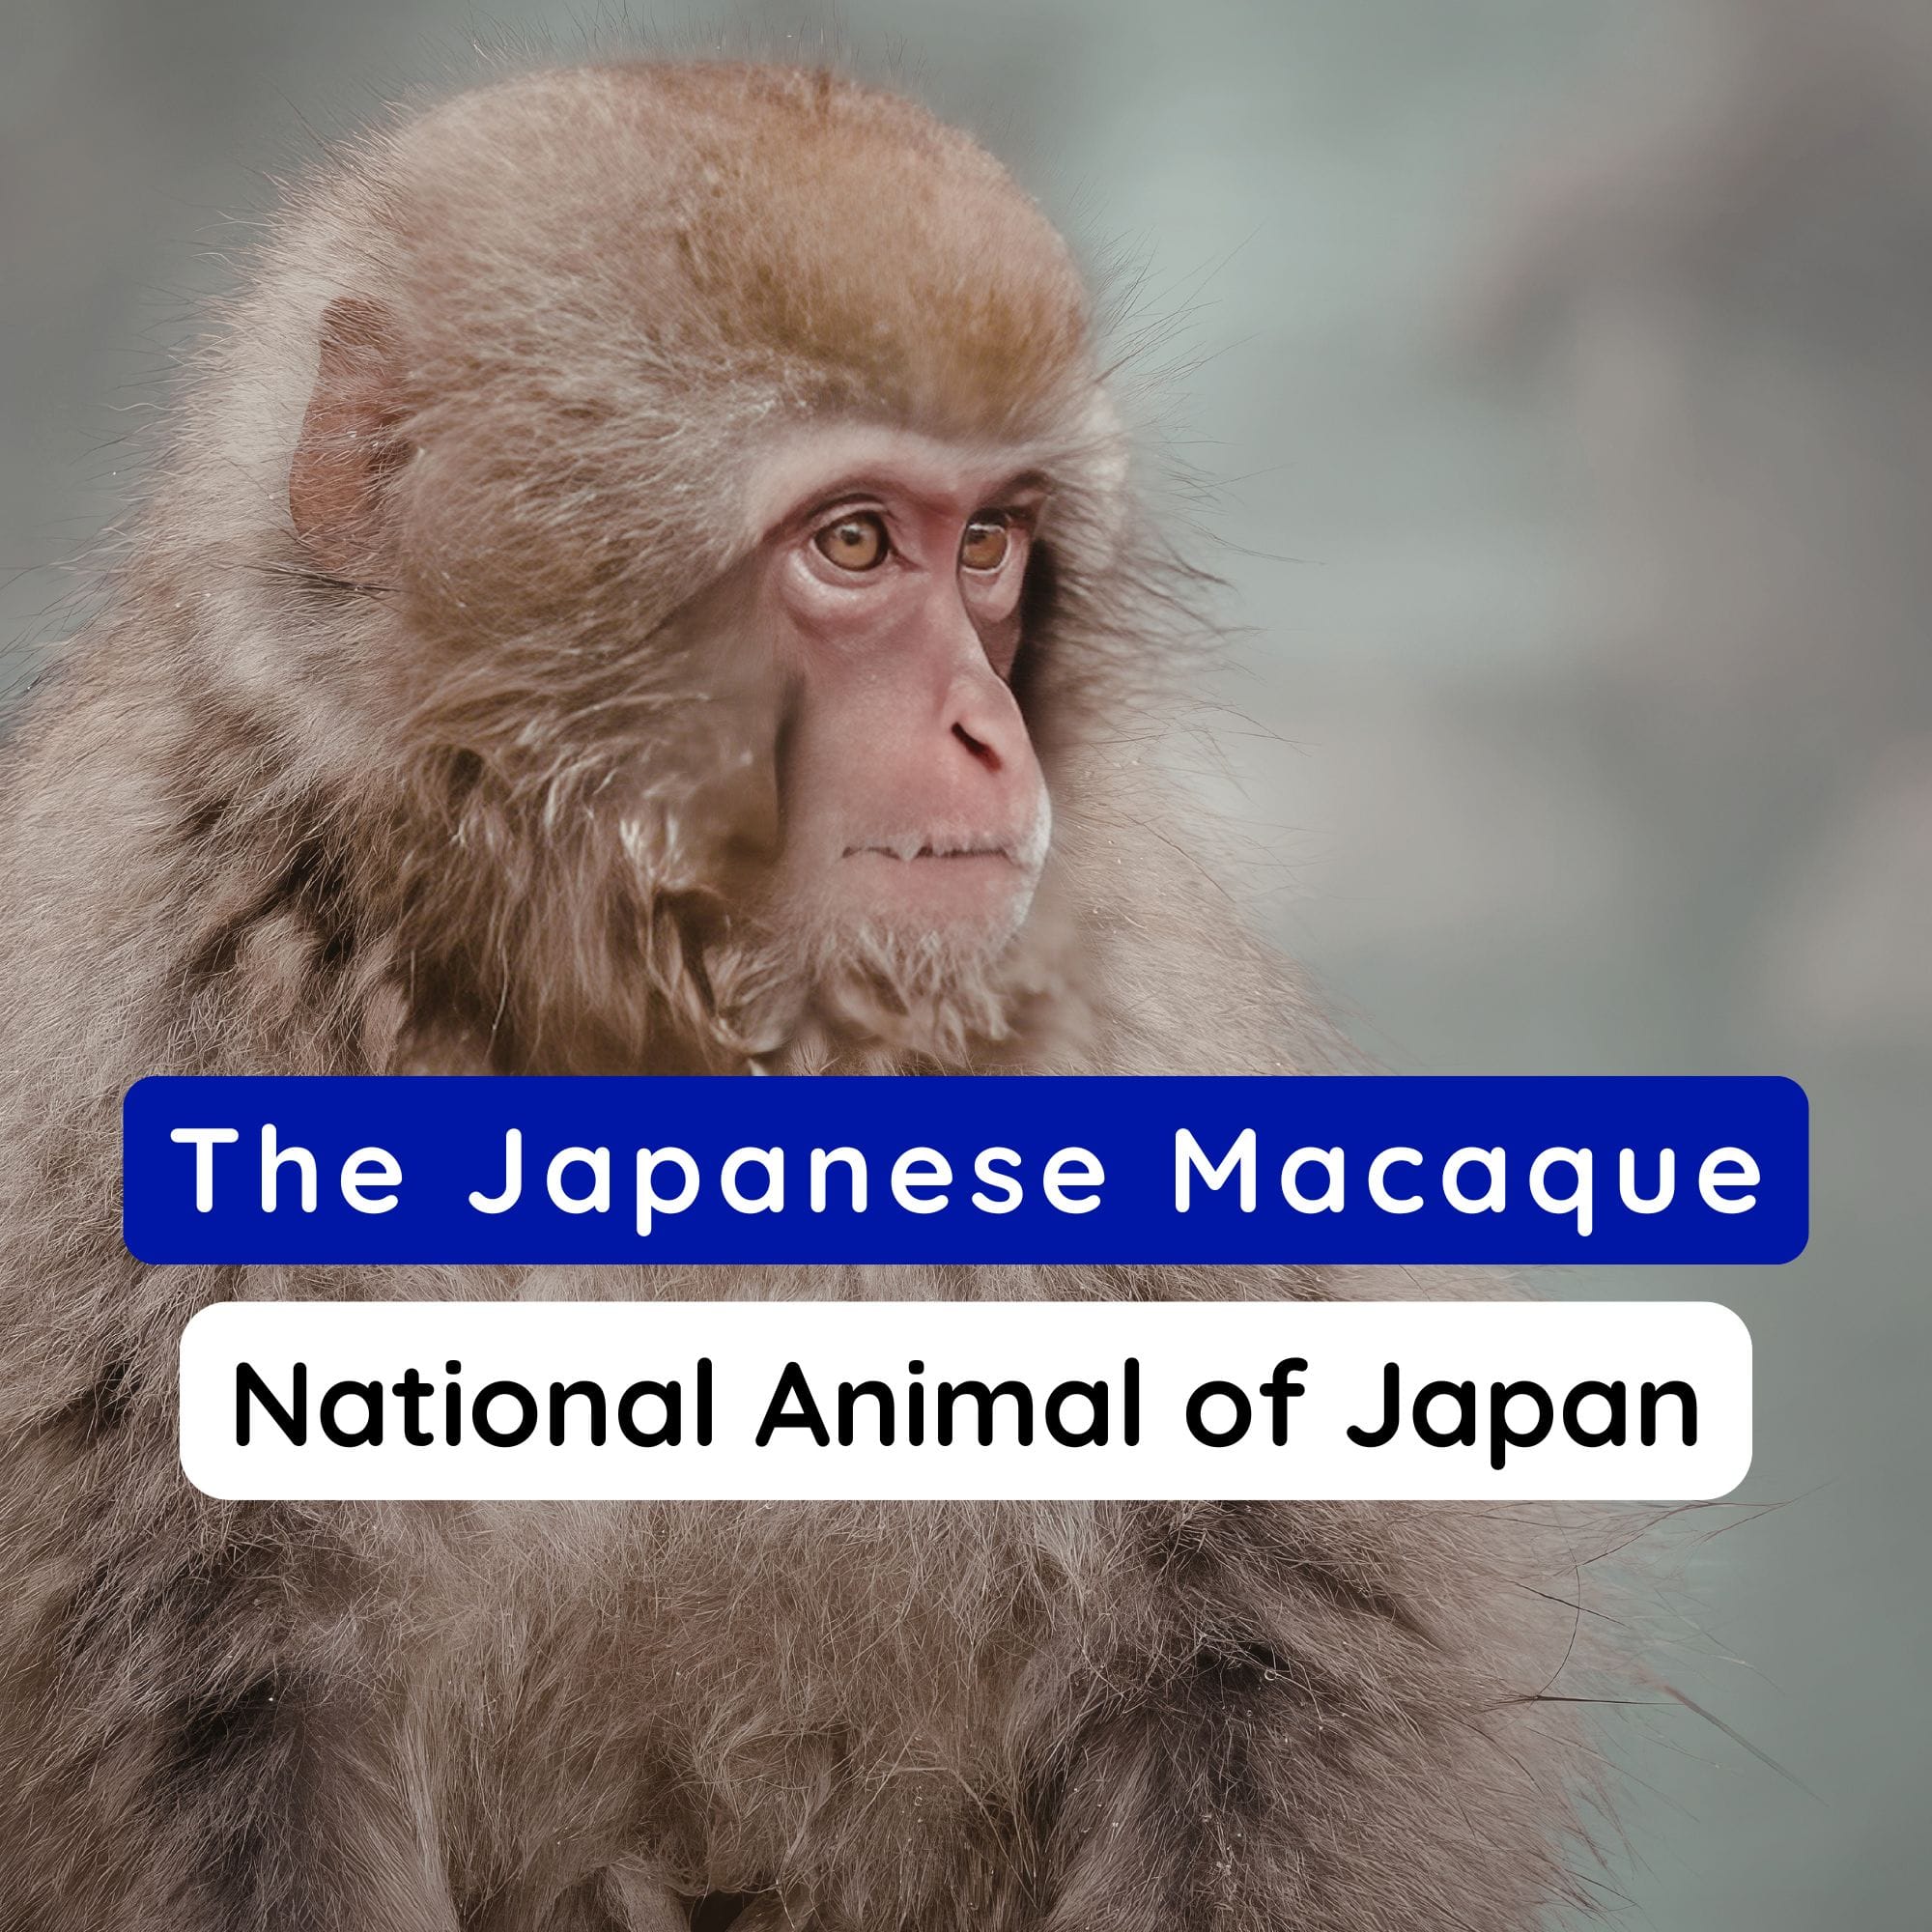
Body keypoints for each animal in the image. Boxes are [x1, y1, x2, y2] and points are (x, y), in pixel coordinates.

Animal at [0, 59, 1636, 1932]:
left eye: (991, 543)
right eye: (853, 544)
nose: (985, 732)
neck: (634, 1051)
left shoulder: (1134, 1042)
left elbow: (1264, 1677)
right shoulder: (114, 1049)